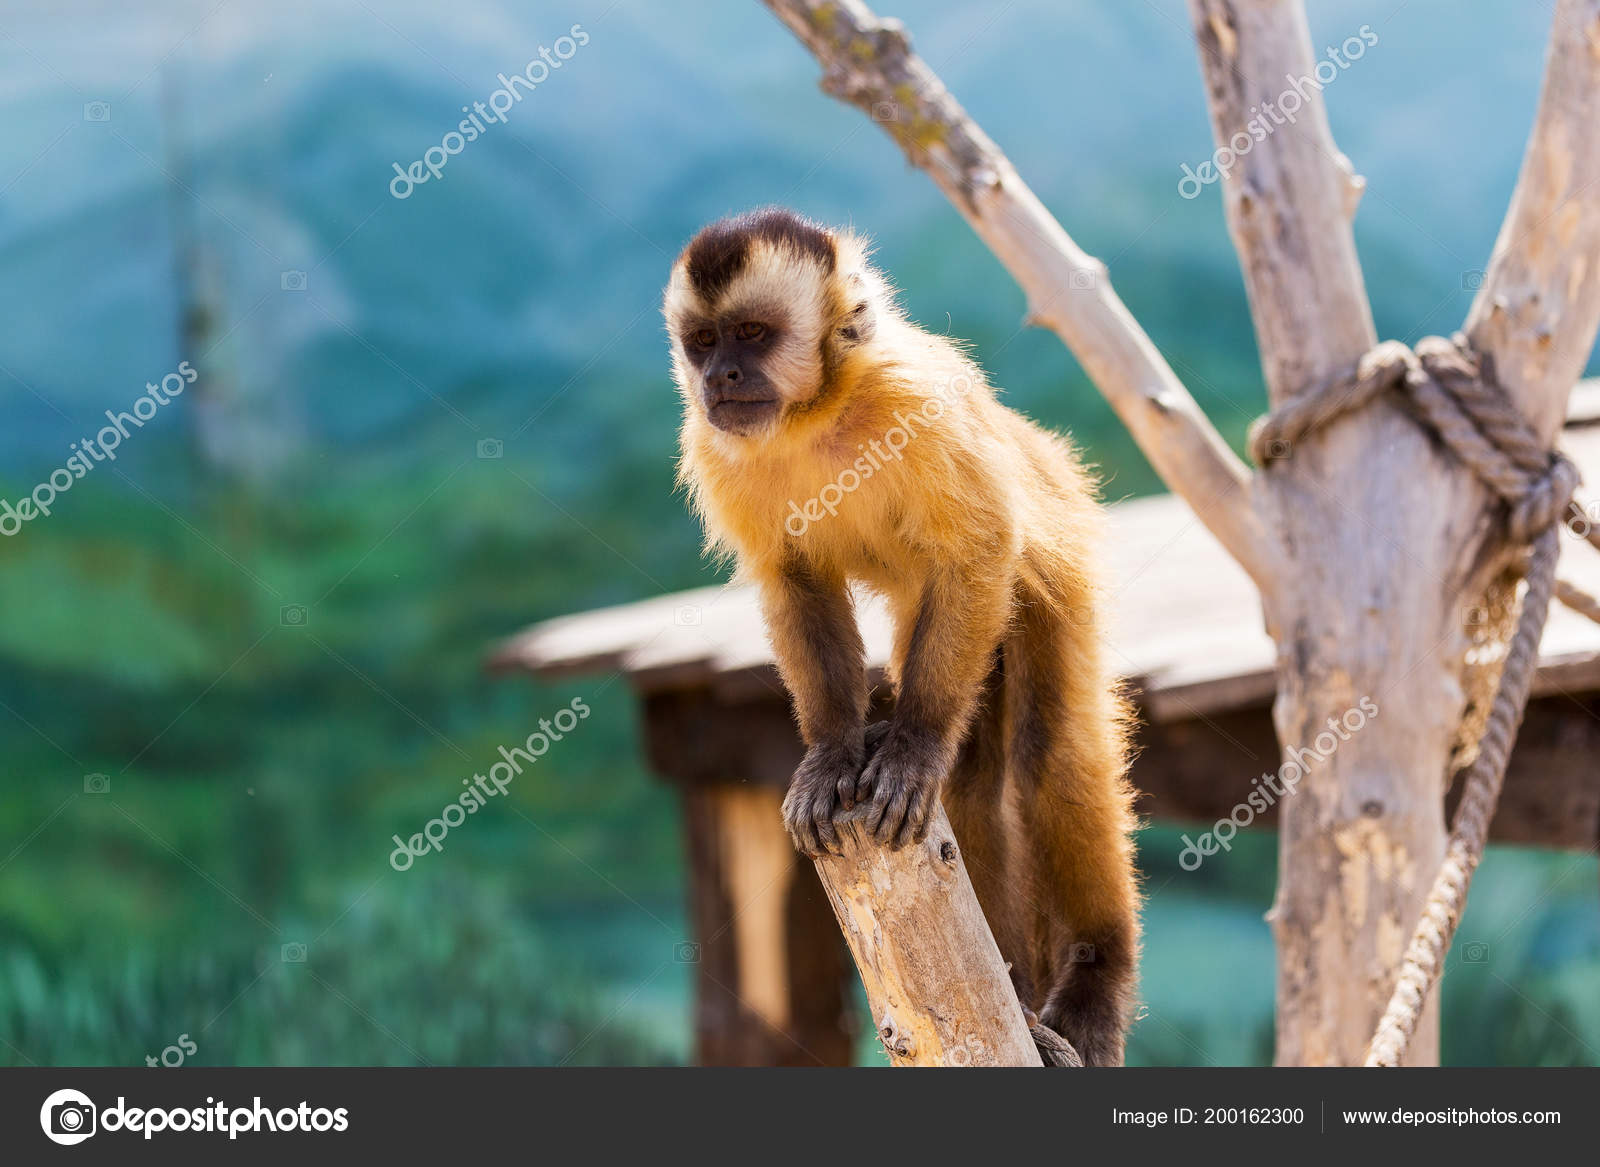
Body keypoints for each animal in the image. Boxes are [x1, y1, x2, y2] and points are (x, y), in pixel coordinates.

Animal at [664, 207, 1140, 1066]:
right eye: (704, 341)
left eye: (751, 334)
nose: (720, 378)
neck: (816, 413)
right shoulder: (715, 447)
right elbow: (796, 582)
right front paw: (832, 752)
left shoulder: (917, 402)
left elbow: (977, 548)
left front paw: (913, 746)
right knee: (979, 776)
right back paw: (1020, 997)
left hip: (1059, 545)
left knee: (1049, 753)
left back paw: (1090, 987)